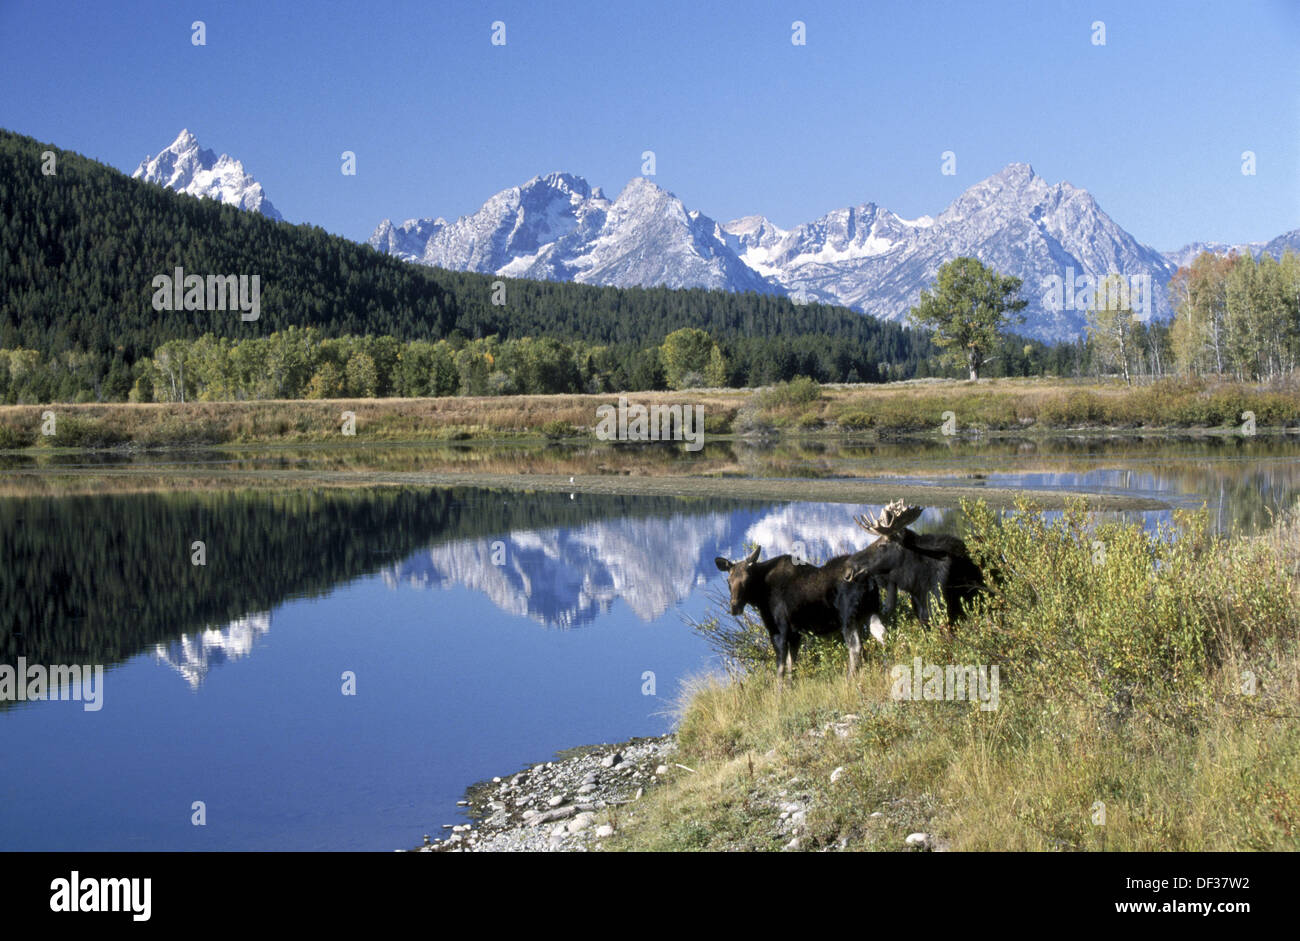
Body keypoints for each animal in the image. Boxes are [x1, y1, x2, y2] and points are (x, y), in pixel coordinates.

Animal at [714, 546, 884, 682]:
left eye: (747, 579)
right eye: (728, 581)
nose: (734, 607)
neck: (760, 596)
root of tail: (868, 577)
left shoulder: (779, 630)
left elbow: (780, 668)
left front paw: (779, 695)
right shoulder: (795, 633)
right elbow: (791, 665)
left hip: (848, 617)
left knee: (855, 647)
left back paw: (849, 680)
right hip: (870, 611)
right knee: (882, 634)